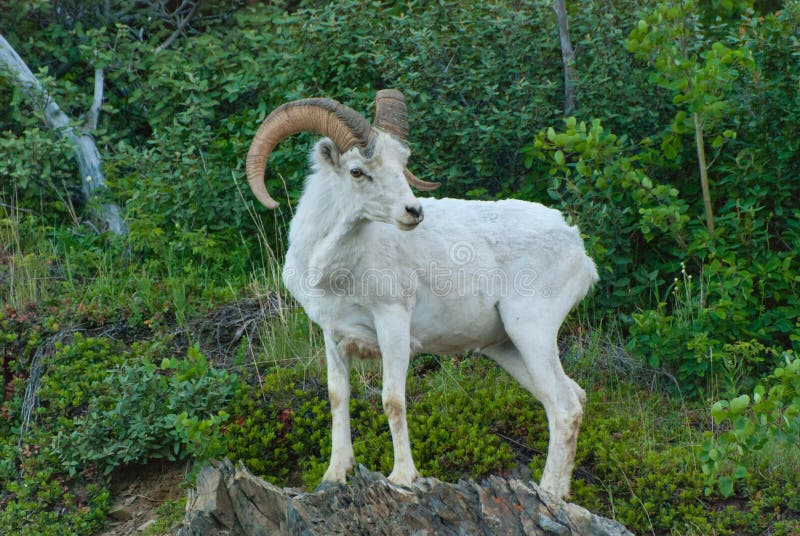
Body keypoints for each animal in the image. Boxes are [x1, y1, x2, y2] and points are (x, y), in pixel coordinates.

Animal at [245, 90, 598, 499]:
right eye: (357, 171)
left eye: (401, 165)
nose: (413, 211)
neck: (336, 269)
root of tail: (577, 245)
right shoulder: (334, 337)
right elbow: (337, 397)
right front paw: (334, 474)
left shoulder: (393, 325)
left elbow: (393, 400)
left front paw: (402, 477)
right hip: (508, 347)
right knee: (572, 398)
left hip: (532, 332)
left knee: (565, 407)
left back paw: (548, 493)